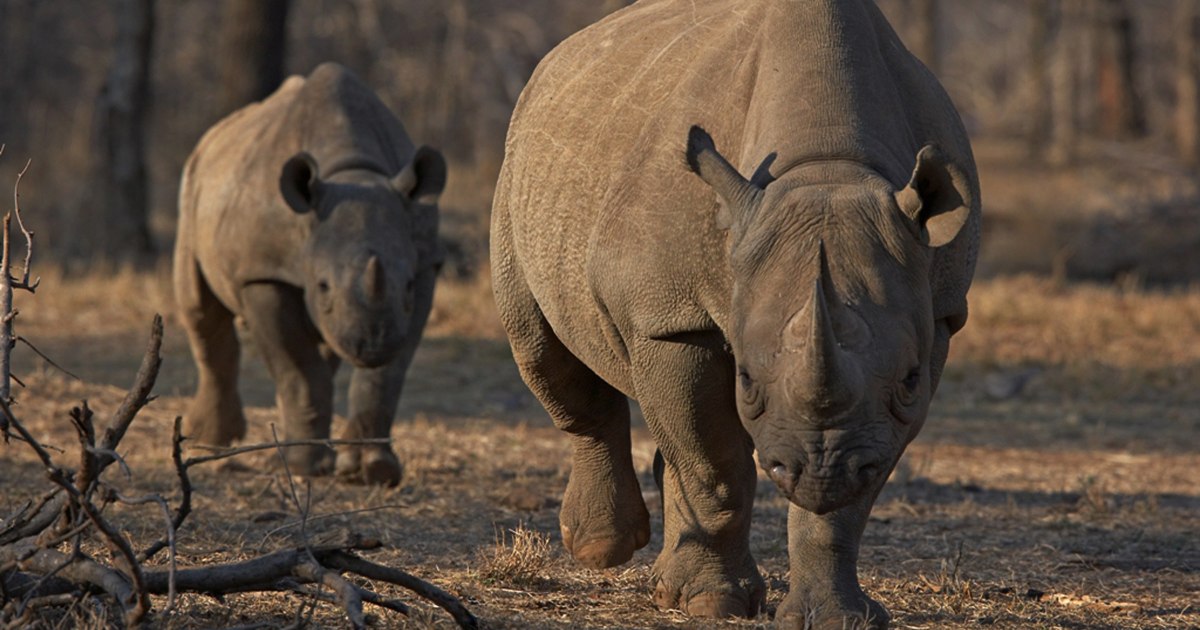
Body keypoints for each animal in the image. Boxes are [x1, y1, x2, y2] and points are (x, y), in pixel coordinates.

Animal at [174, 62, 445, 486]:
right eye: (322, 285)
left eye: (407, 286)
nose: (372, 344)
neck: (353, 173)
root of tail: (215, 134)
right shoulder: (265, 273)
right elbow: (298, 369)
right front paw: (306, 470)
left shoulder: (424, 263)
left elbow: (386, 376)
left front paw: (373, 471)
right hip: (192, 184)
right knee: (199, 309)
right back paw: (212, 442)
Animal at [490, 0, 979, 627]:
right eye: (746, 380)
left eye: (911, 380)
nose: (820, 471)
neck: (827, 166)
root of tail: (556, 60)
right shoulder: (671, 317)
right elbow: (715, 461)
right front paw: (711, 603)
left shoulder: (936, 315)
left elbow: (853, 492)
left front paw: (834, 615)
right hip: (522, 173)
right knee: (542, 349)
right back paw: (604, 549)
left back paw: (661, 581)